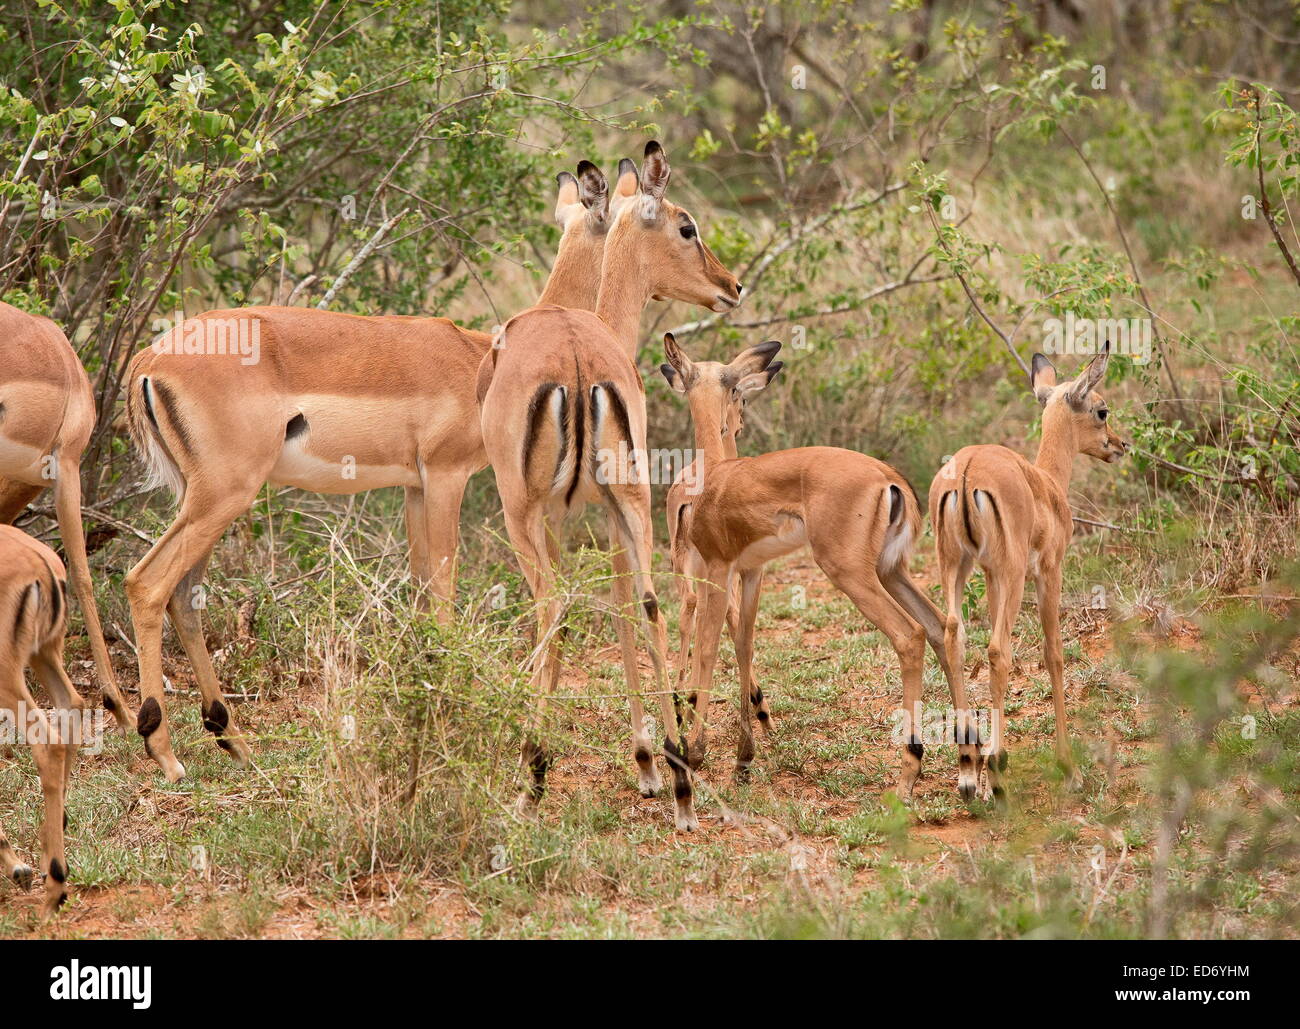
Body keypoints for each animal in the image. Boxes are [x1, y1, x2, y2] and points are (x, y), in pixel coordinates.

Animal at [122, 163, 631, 782]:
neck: (483, 355)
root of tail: (149, 360)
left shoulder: (414, 488)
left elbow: (422, 593)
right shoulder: (448, 477)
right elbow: (444, 592)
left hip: (204, 501)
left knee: (182, 595)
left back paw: (234, 740)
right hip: (222, 497)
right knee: (146, 583)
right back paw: (166, 754)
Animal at [479, 142, 743, 831]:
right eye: (687, 226)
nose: (733, 285)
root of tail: (578, 361)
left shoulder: (559, 515)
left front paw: (639, 762)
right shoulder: (608, 512)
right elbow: (629, 605)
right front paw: (651, 763)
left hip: (524, 513)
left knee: (554, 608)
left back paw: (533, 777)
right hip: (632, 503)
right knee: (651, 604)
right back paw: (682, 785)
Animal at [660, 333, 959, 796]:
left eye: (740, 395)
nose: (739, 425)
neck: (714, 475)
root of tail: (889, 478)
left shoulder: (717, 568)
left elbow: (709, 649)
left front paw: (693, 753)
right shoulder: (751, 572)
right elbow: (744, 644)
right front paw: (743, 758)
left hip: (848, 573)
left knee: (909, 636)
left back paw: (908, 775)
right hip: (891, 571)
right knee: (940, 627)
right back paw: (975, 764)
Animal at [929, 342, 1127, 801]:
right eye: (1102, 410)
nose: (1120, 444)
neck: (1048, 483)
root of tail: (966, 472)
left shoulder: (990, 575)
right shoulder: (1048, 571)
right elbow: (1053, 654)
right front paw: (1069, 768)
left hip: (956, 566)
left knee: (953, 635)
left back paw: (968, 774)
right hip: (1014, 573)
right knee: (998, 649)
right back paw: (996, 771)